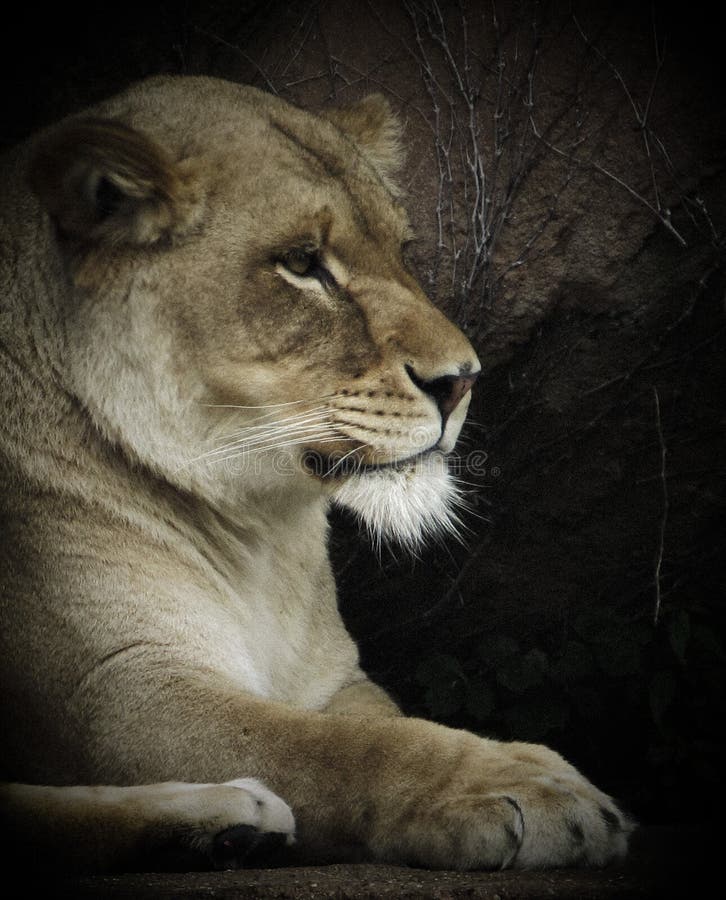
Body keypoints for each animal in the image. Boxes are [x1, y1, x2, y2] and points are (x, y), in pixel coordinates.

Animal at [0, 75, 631, 874]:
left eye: (401, 250)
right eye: (301, 263)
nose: (462, 380)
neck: (258, 538)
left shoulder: (335, 680)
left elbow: (378, 727)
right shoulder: (117, 692)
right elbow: (347, 753)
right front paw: (526, 787)